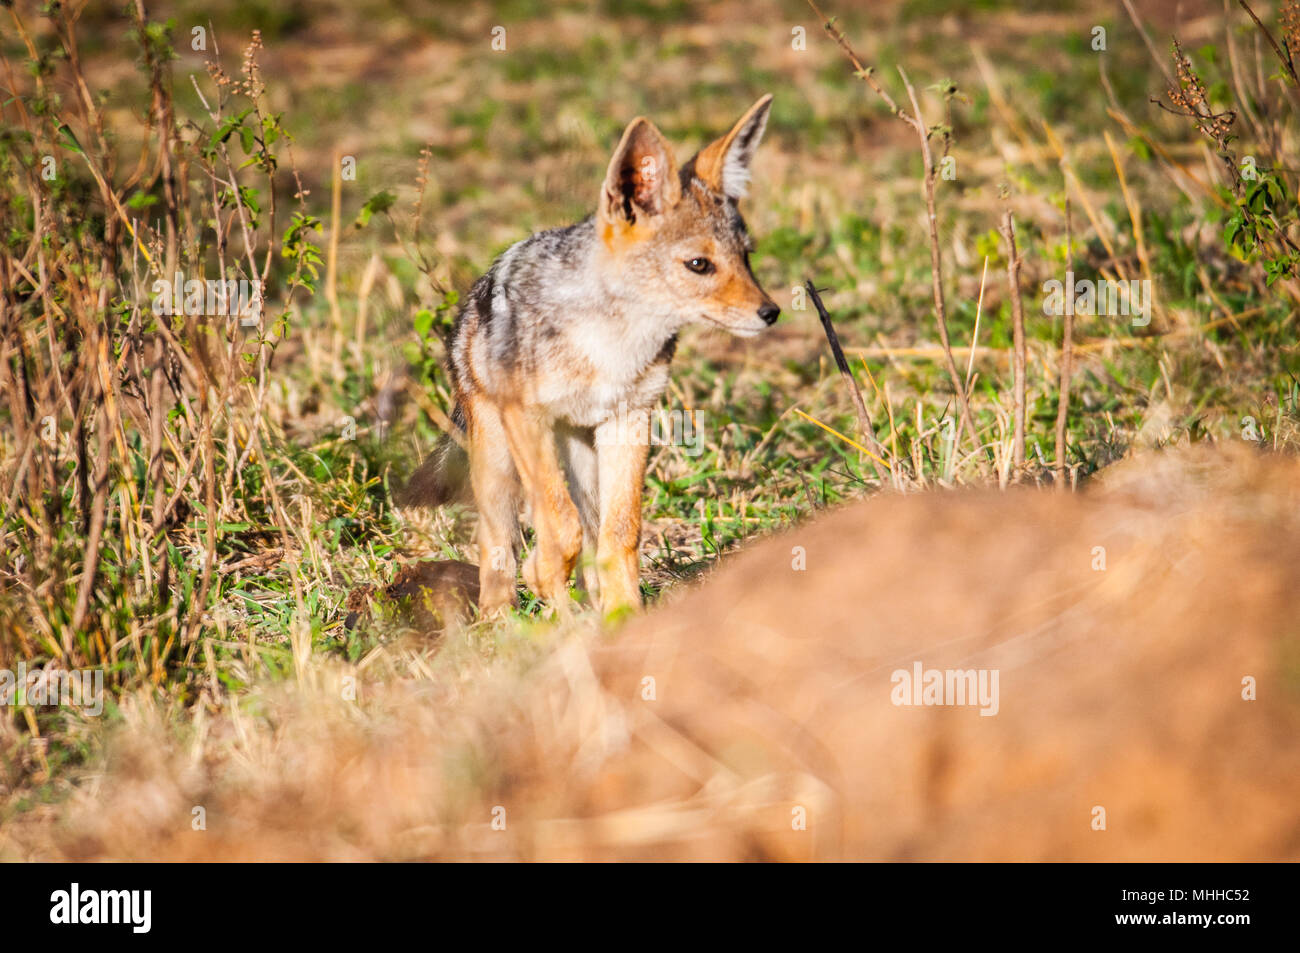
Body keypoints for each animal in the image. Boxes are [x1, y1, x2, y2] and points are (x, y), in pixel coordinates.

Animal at [403, 95, 780, 617]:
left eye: (747, 257)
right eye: (699, 265)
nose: (771, 312)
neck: (612, 344)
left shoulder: (630, 419)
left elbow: (619, 535)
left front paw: (625, 617)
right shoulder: (527, 418)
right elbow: (559, 529)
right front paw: (544, 584)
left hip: (582, 452)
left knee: (587, 532)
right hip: (498, 459)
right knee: (495, 541)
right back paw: (501, 619)